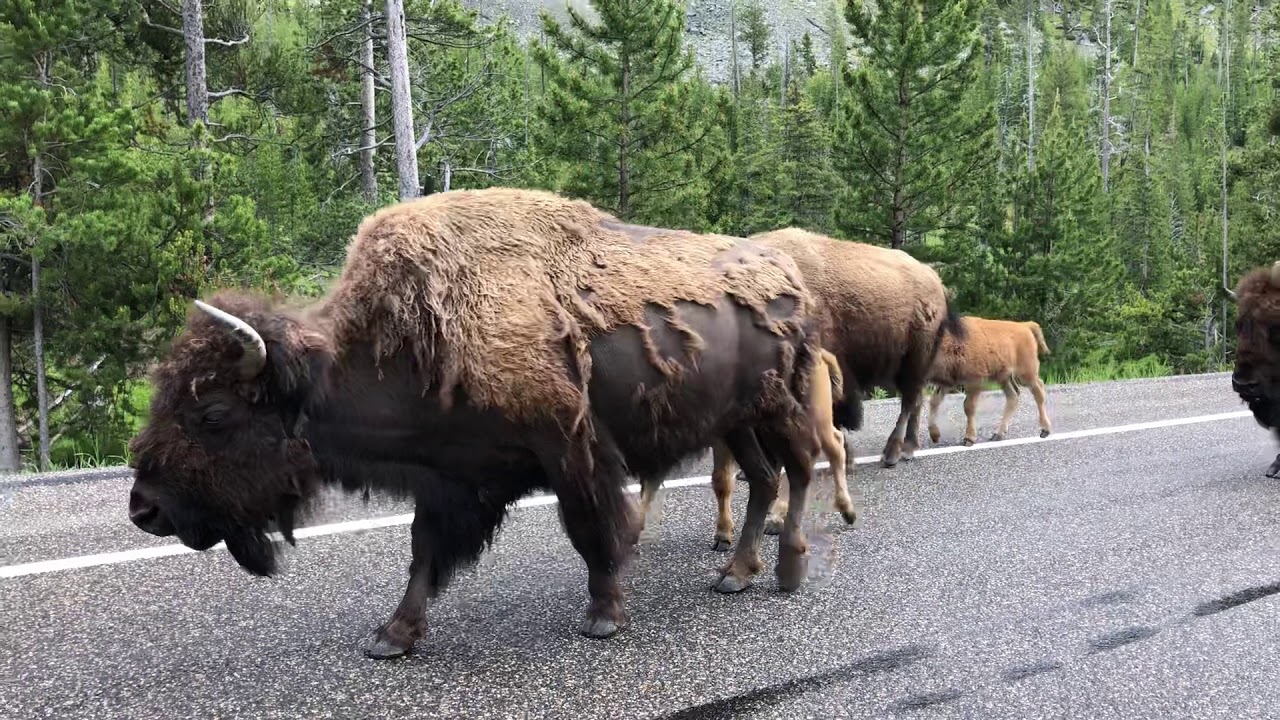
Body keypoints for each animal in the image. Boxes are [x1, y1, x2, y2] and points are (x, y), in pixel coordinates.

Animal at [125, 187, 827, 659]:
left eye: (213, 413)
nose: (145, 509)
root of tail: (788, 277)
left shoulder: (570, 452)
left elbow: (592, 531)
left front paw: (603, 616)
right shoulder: (449, 480)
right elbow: (423, 554)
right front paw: (393, 636)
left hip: (775, 407)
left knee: (799, 467)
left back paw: (786, 571)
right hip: (732, 421)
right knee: (766, 478)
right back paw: (735, 575)